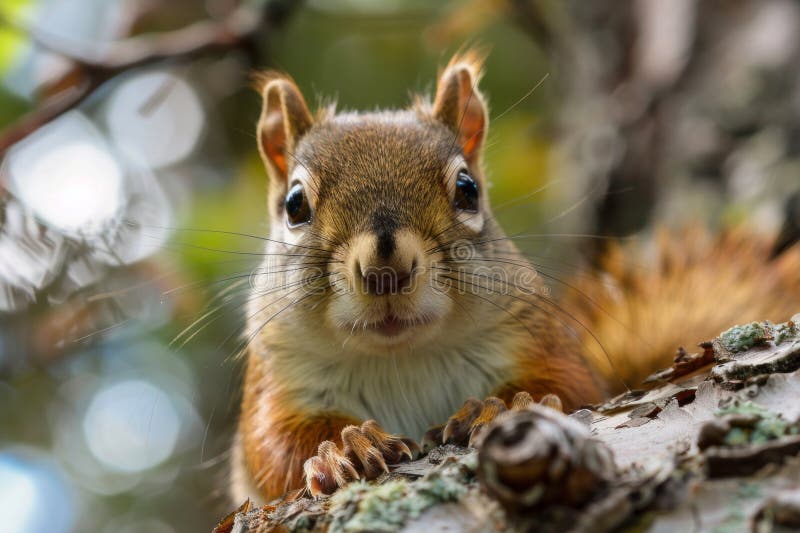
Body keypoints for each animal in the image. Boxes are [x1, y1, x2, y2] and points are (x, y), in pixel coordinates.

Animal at [229, 50, 800, 503]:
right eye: (295, 205)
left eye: (467, 189)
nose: (385, 269)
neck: (401, 356)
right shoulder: (279, 376)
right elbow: (270, 448)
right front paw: (343, 447)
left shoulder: (534, 340)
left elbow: (572, 387)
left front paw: (498, 407)